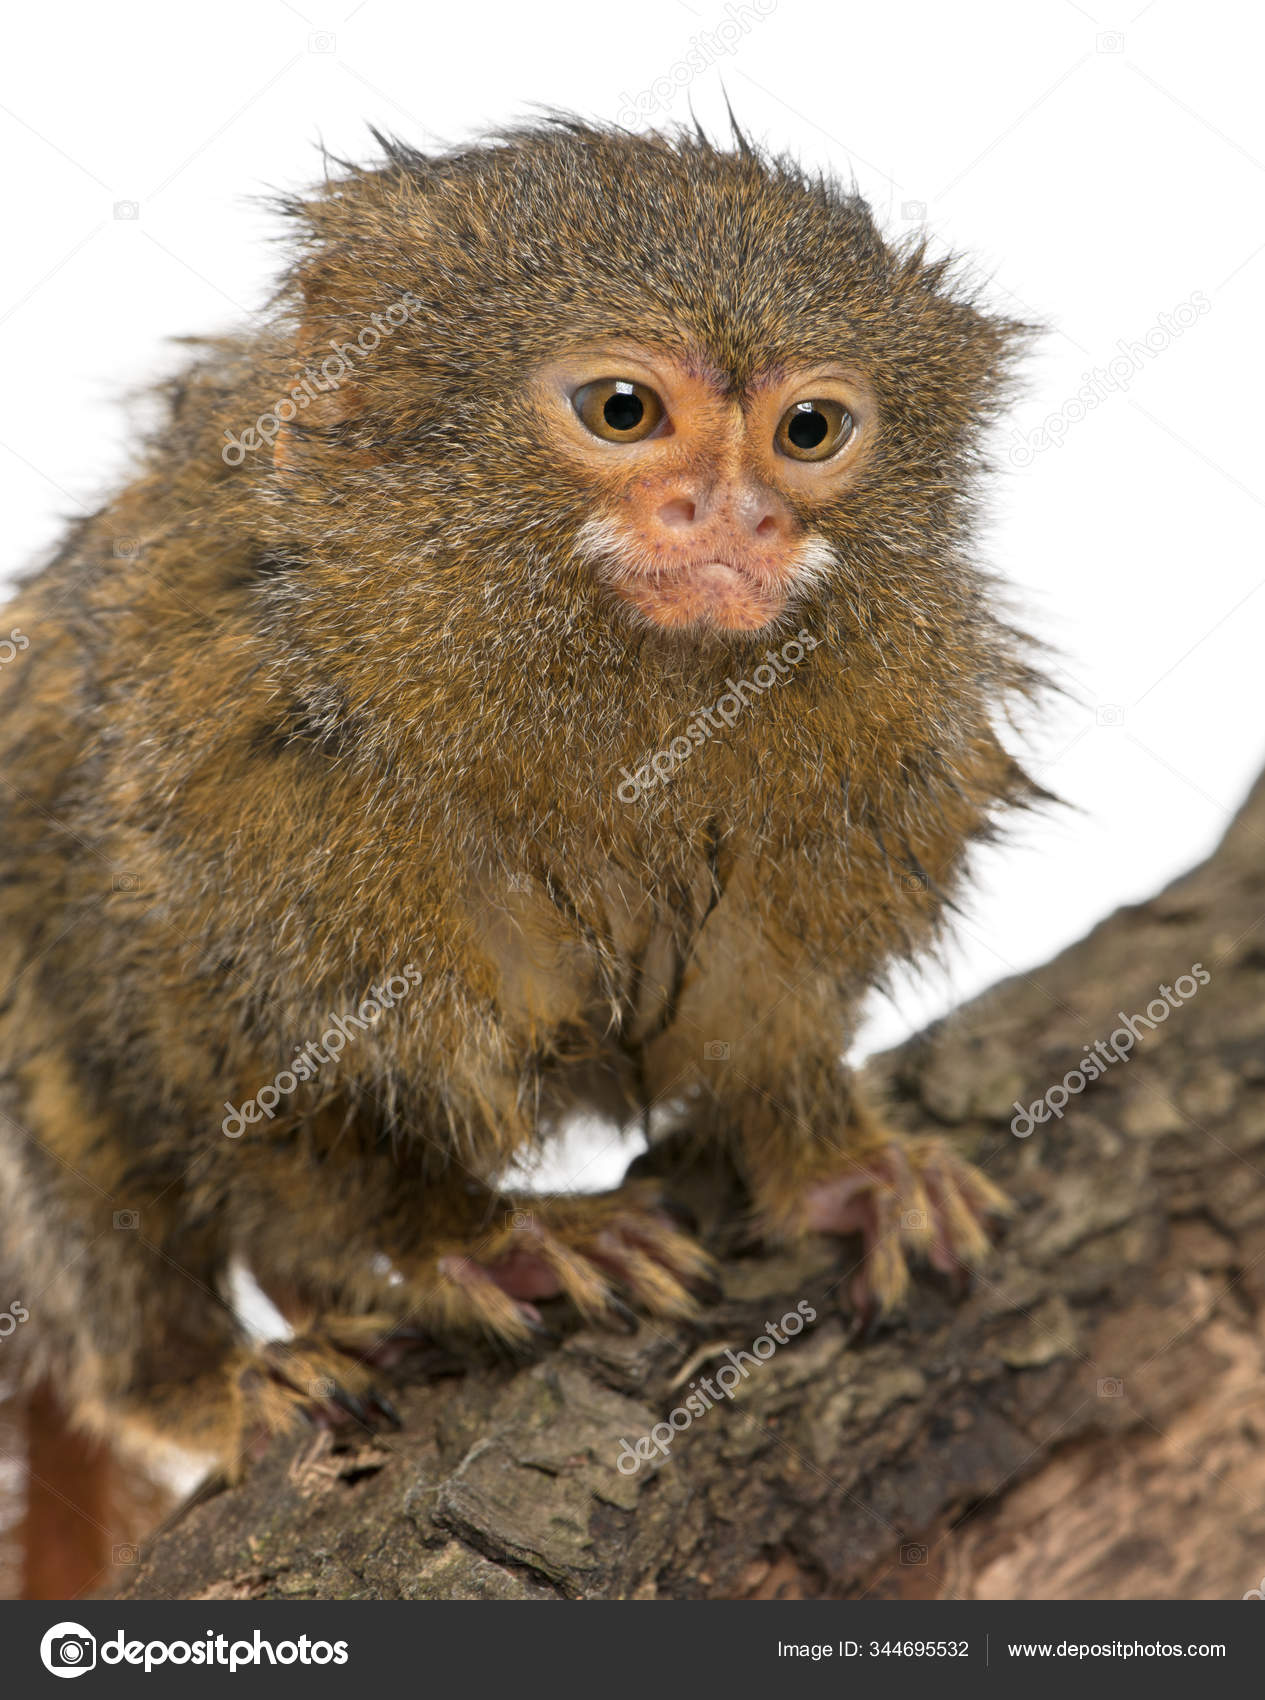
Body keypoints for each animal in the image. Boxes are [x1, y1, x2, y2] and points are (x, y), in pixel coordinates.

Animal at [0, 117, 1044, 1591]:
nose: (738, 518)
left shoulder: (884, 744)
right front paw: (489, 1239)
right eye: (622, 411)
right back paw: (214, 1382)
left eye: (810, 431)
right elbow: (252, 1093)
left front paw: (845, 1168)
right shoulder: (213, 780)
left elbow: (768, 1023)